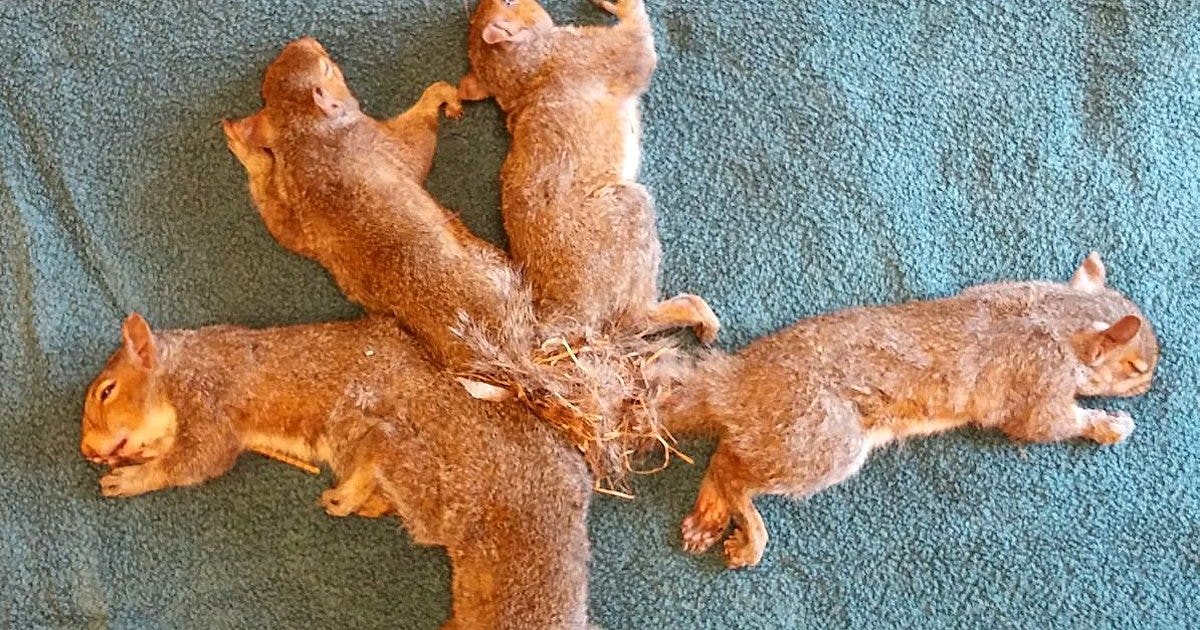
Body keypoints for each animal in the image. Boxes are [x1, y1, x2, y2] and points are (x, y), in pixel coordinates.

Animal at [80, 314, 591, 629]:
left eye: (106, 391)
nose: (87, 451)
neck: (180, 367)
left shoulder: (210, 397)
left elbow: (197, 459)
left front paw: (132, 477)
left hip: (425, 459)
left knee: (384, 452)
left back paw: (355, 487)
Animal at [459, 0, 721, 343]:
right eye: (510, 3)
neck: (525, 71)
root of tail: (565, 312)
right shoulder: (587, 53)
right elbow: (638, 45)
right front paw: (624, 6)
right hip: (627, 215)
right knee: (632, 320)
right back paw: (693, 312)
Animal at [664, 253, 1159, 569]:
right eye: (1135, 366)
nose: (1152, 382)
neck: (1055, 317)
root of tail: (737, 382)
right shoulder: (1038, 381)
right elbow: (1050, 423)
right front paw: (1109, 425)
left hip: (782, 434)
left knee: (725, 454)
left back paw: (708, 514)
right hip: (822, 438)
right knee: (736, 472)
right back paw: (749, 530)